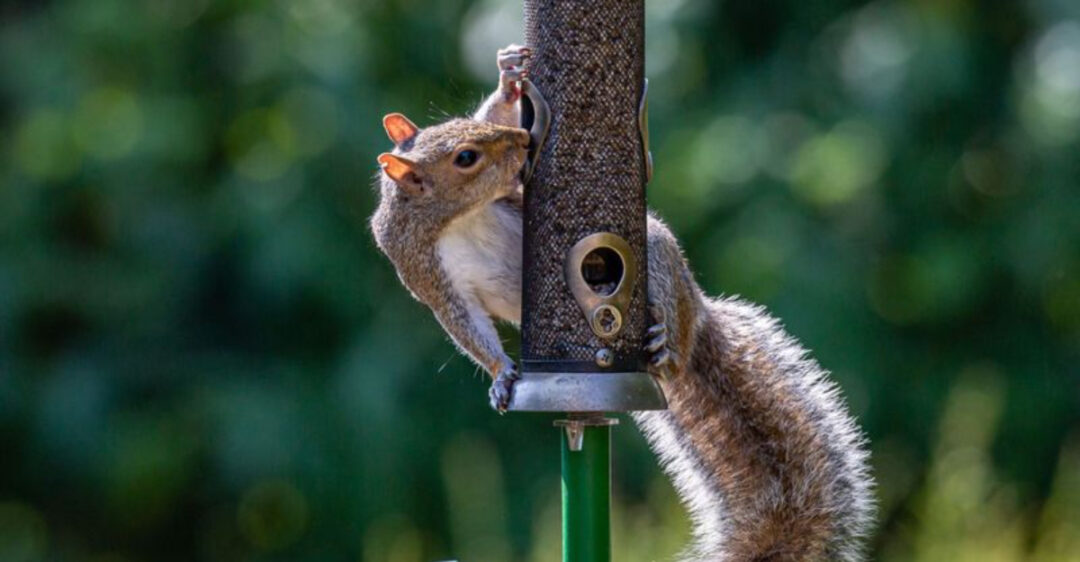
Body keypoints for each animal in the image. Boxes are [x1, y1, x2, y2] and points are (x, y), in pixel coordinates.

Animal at [370, 45, 875, 561]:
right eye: (465, 157)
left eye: (463, 125)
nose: (522, 139)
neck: (459, 216)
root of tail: (697, 312)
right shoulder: (428, 275)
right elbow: (467, 327)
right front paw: (502, 375)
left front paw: (509, 77)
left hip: (654, 253)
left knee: (676, 326)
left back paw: (667, 340)